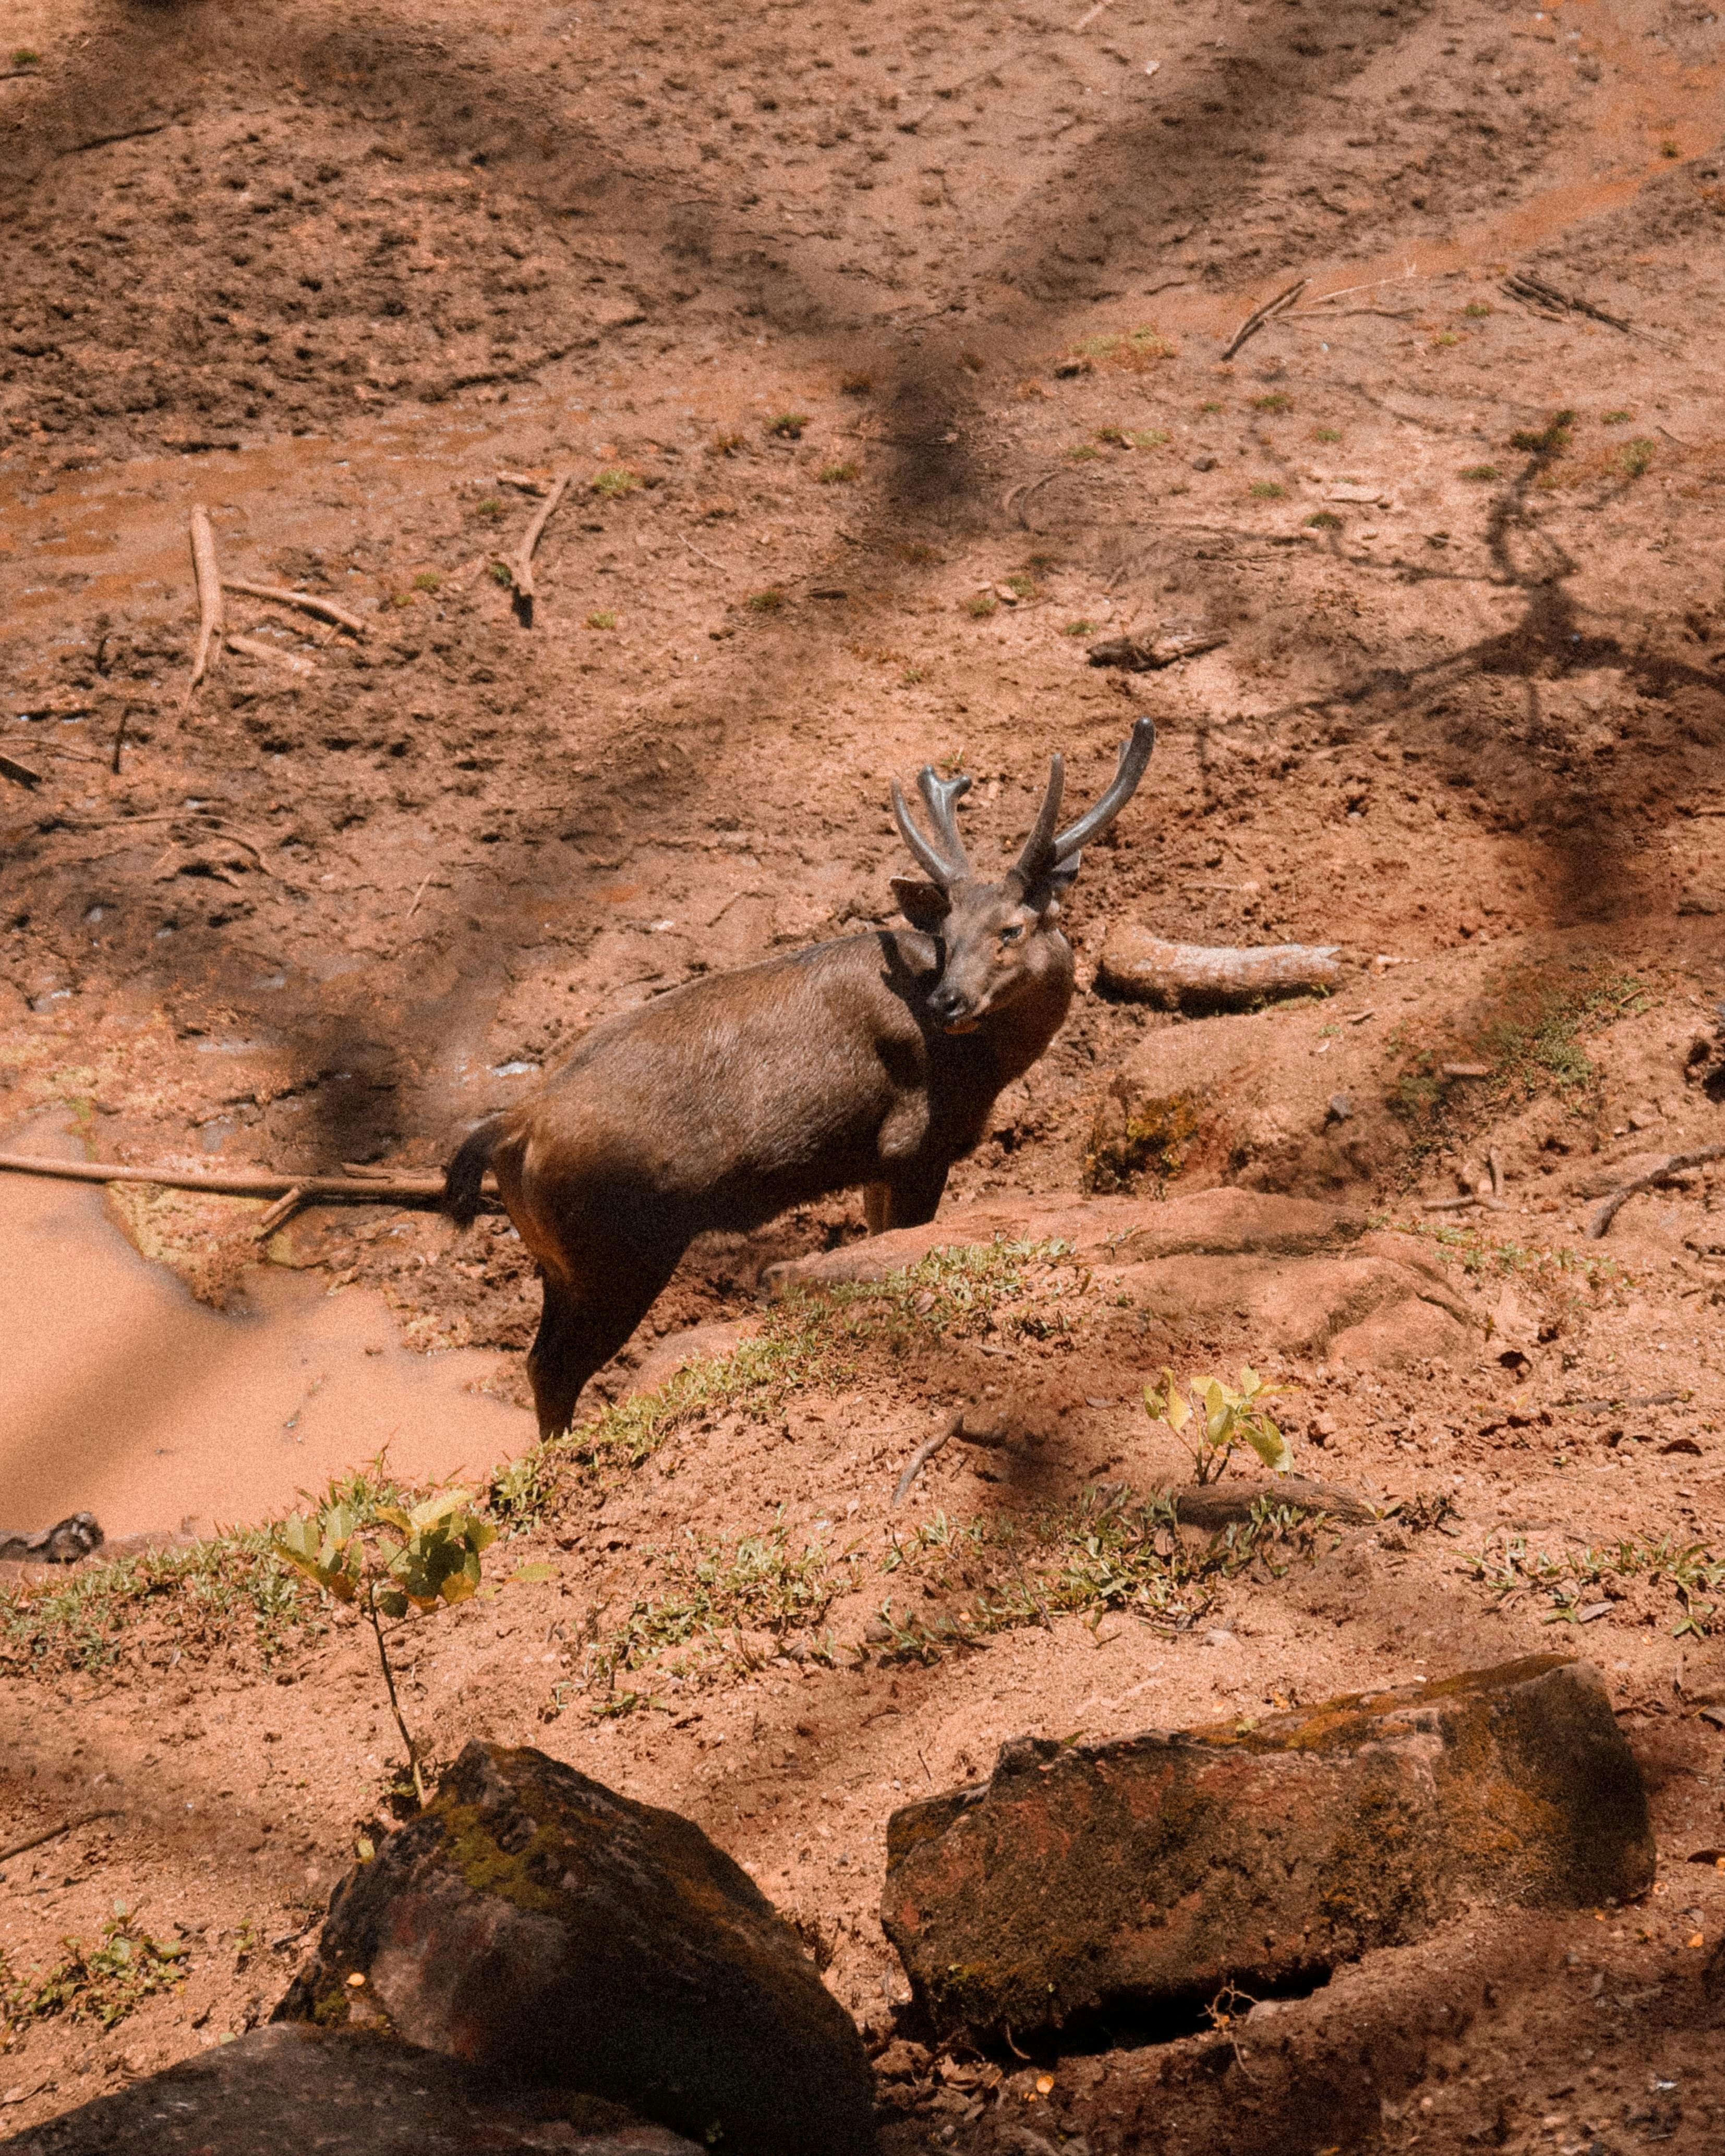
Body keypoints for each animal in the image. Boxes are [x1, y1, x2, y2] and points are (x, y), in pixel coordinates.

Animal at [445, 716, 1155, 1437]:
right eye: (950, 933)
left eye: (1010, 929)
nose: (946, 1002)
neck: (986, 1071)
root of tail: (516, 1124)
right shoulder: (915, 1145)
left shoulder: (875, 1163)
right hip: (617, 1250)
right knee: (556, 1368)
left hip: (558, 1259)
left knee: (536, 1360)